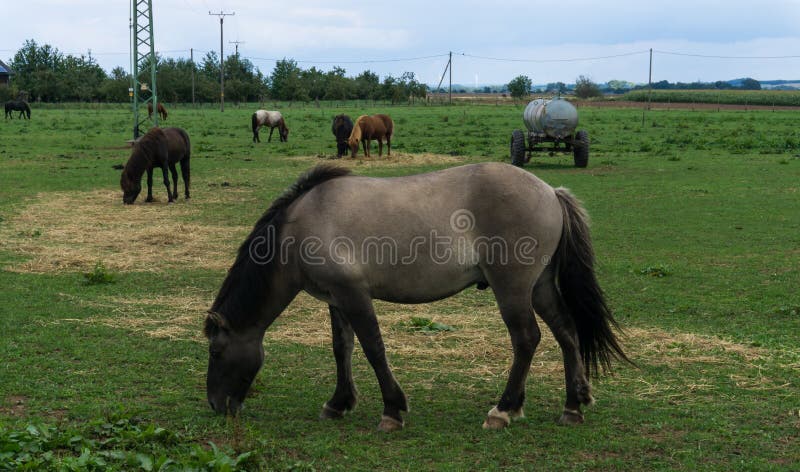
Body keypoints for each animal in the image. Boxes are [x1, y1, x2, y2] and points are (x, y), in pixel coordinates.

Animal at [204, 163, 630, 432]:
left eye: (216, 351)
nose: (216, 406)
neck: (300, 226)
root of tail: (550, 191)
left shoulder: (354, 295)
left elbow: (373, 348)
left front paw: (392, 410)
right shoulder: (335, 299)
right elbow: (342, 349)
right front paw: (338, 403)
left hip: (512, 288)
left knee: (527, 340)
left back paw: (504, 410)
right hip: (539, 287)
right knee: (567, 333)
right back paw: (573, 405)